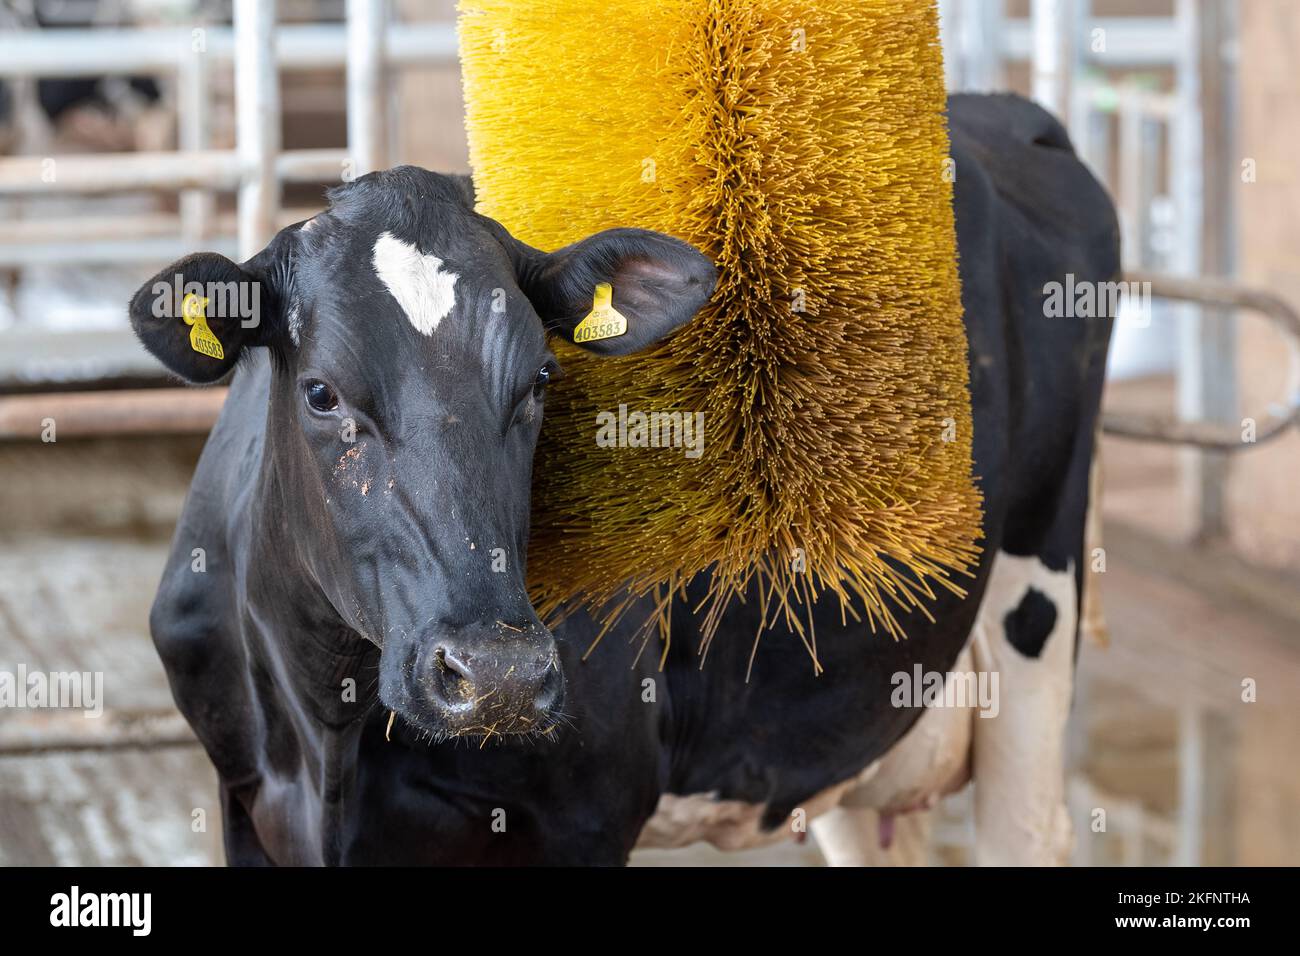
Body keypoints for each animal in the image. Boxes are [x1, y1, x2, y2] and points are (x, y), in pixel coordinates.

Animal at [129, 93, 1118, 865]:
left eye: (540, 379)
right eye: (322, 392)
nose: (496, 675)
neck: (324, 738)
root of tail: (1007, 114)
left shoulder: (587, 809)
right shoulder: (244, 796)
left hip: (1035, 630)